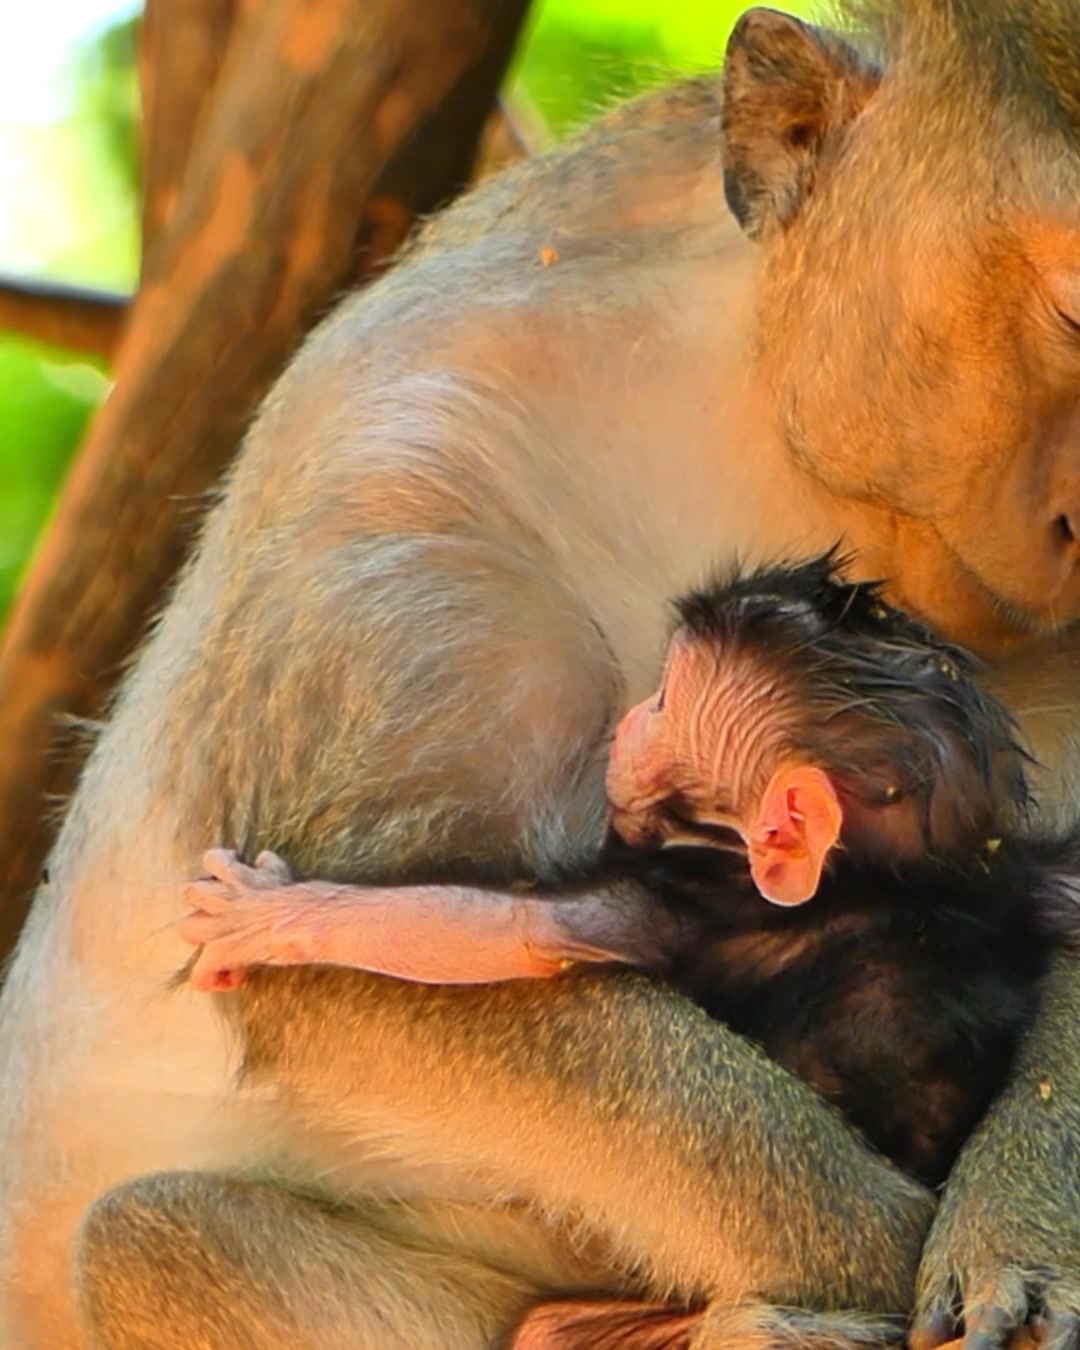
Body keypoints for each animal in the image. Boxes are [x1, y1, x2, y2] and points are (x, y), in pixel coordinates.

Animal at [180, 553, 1072, 1197]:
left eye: (670, 701)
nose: (638, 715)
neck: (876, 882)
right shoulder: (1009, 878)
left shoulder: (686, 894)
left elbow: (517, 930)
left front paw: (268, 914)